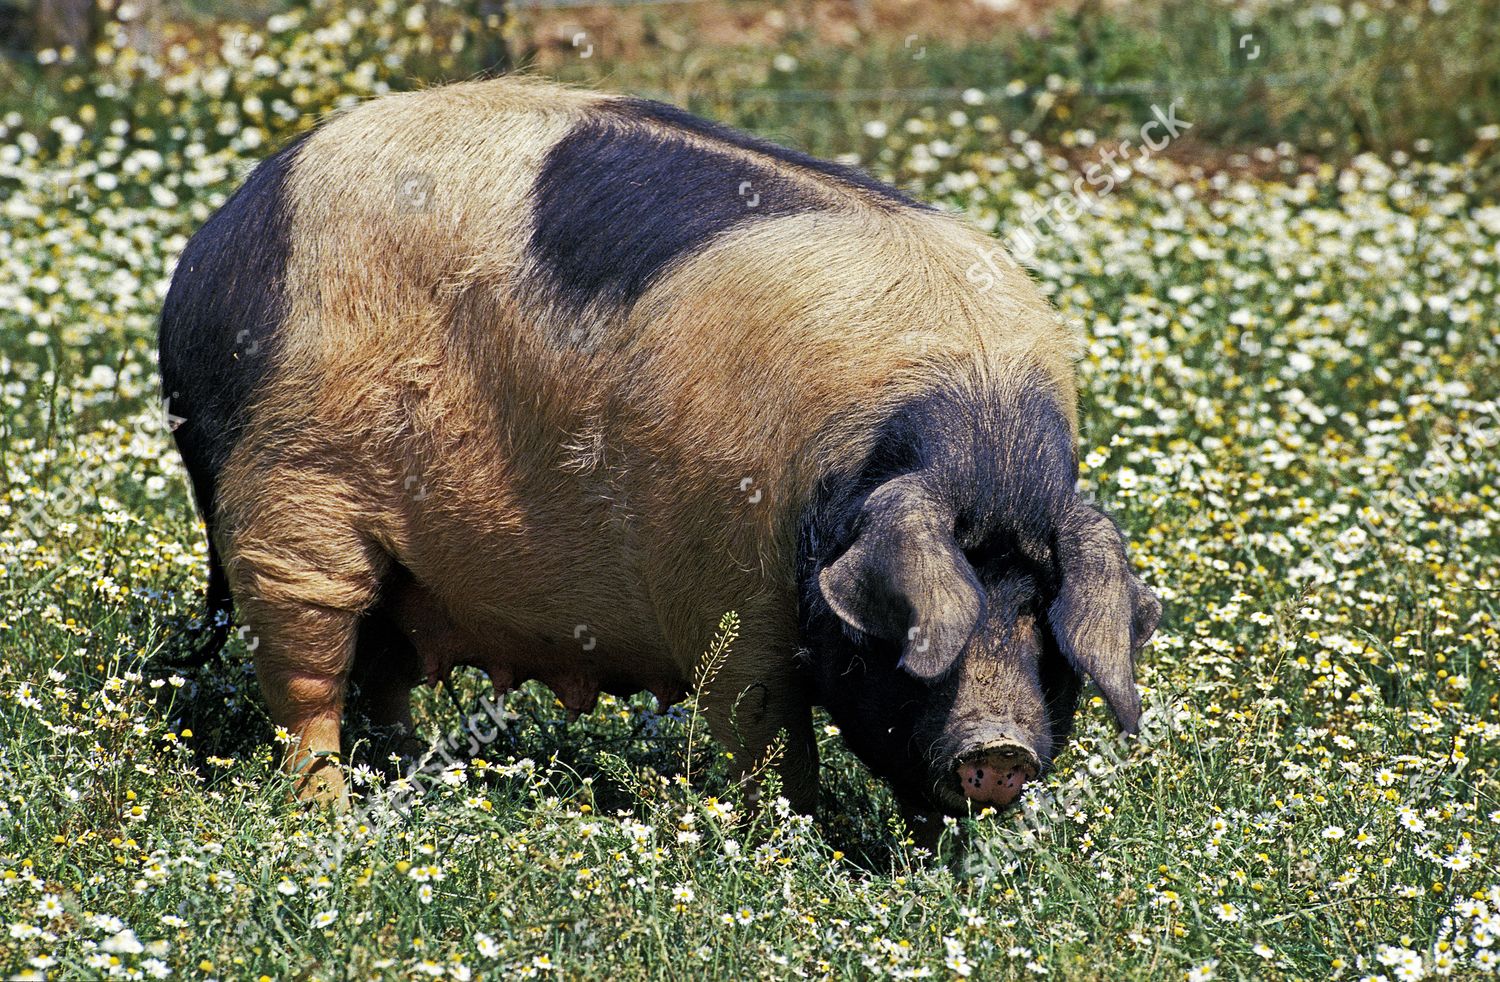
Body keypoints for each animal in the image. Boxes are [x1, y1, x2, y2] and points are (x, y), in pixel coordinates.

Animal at [158, 77, 1160, 822]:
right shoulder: (724, 589)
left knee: (386, 670)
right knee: (309, 674)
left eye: (1041, 621)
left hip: (397, 562)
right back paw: (330, 820)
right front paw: (796, 846)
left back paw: (411, 780)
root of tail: (214, 249)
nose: (1003, 748)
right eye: (924, 621)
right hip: (285, 502)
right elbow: (766, 731)